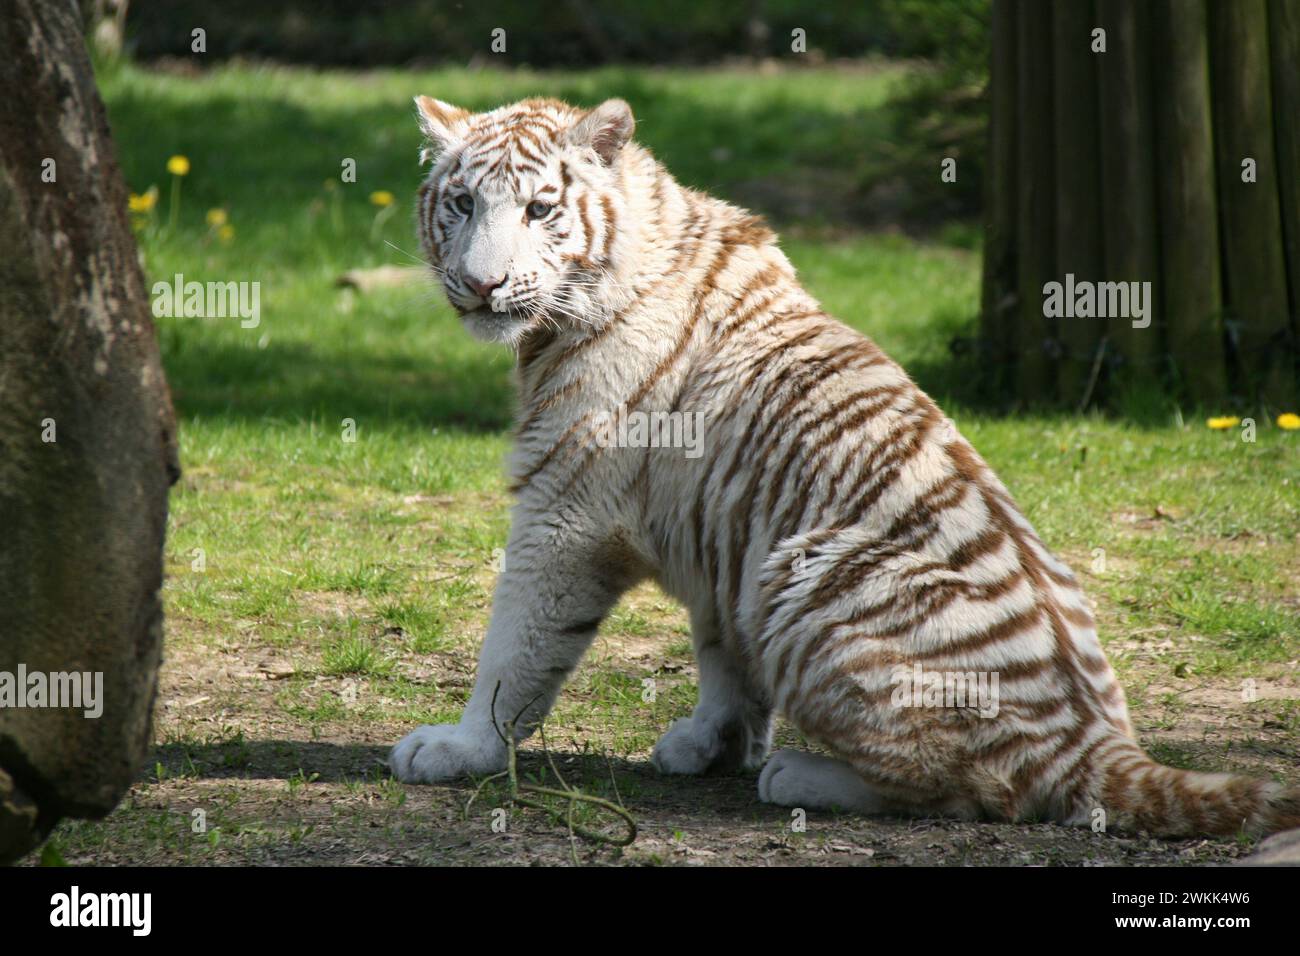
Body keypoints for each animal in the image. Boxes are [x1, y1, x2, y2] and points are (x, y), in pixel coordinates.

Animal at [388, 94, 1300, 838]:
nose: (481, 285)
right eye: (462, 203)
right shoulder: (724, 534)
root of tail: (1096, 742)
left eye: (541, 208)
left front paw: (458, 748)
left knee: (981, 789)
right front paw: (709, 742)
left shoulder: (565, 515)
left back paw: (800, 775)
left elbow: (514, 653)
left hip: (809, 572)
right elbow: (723, 656)